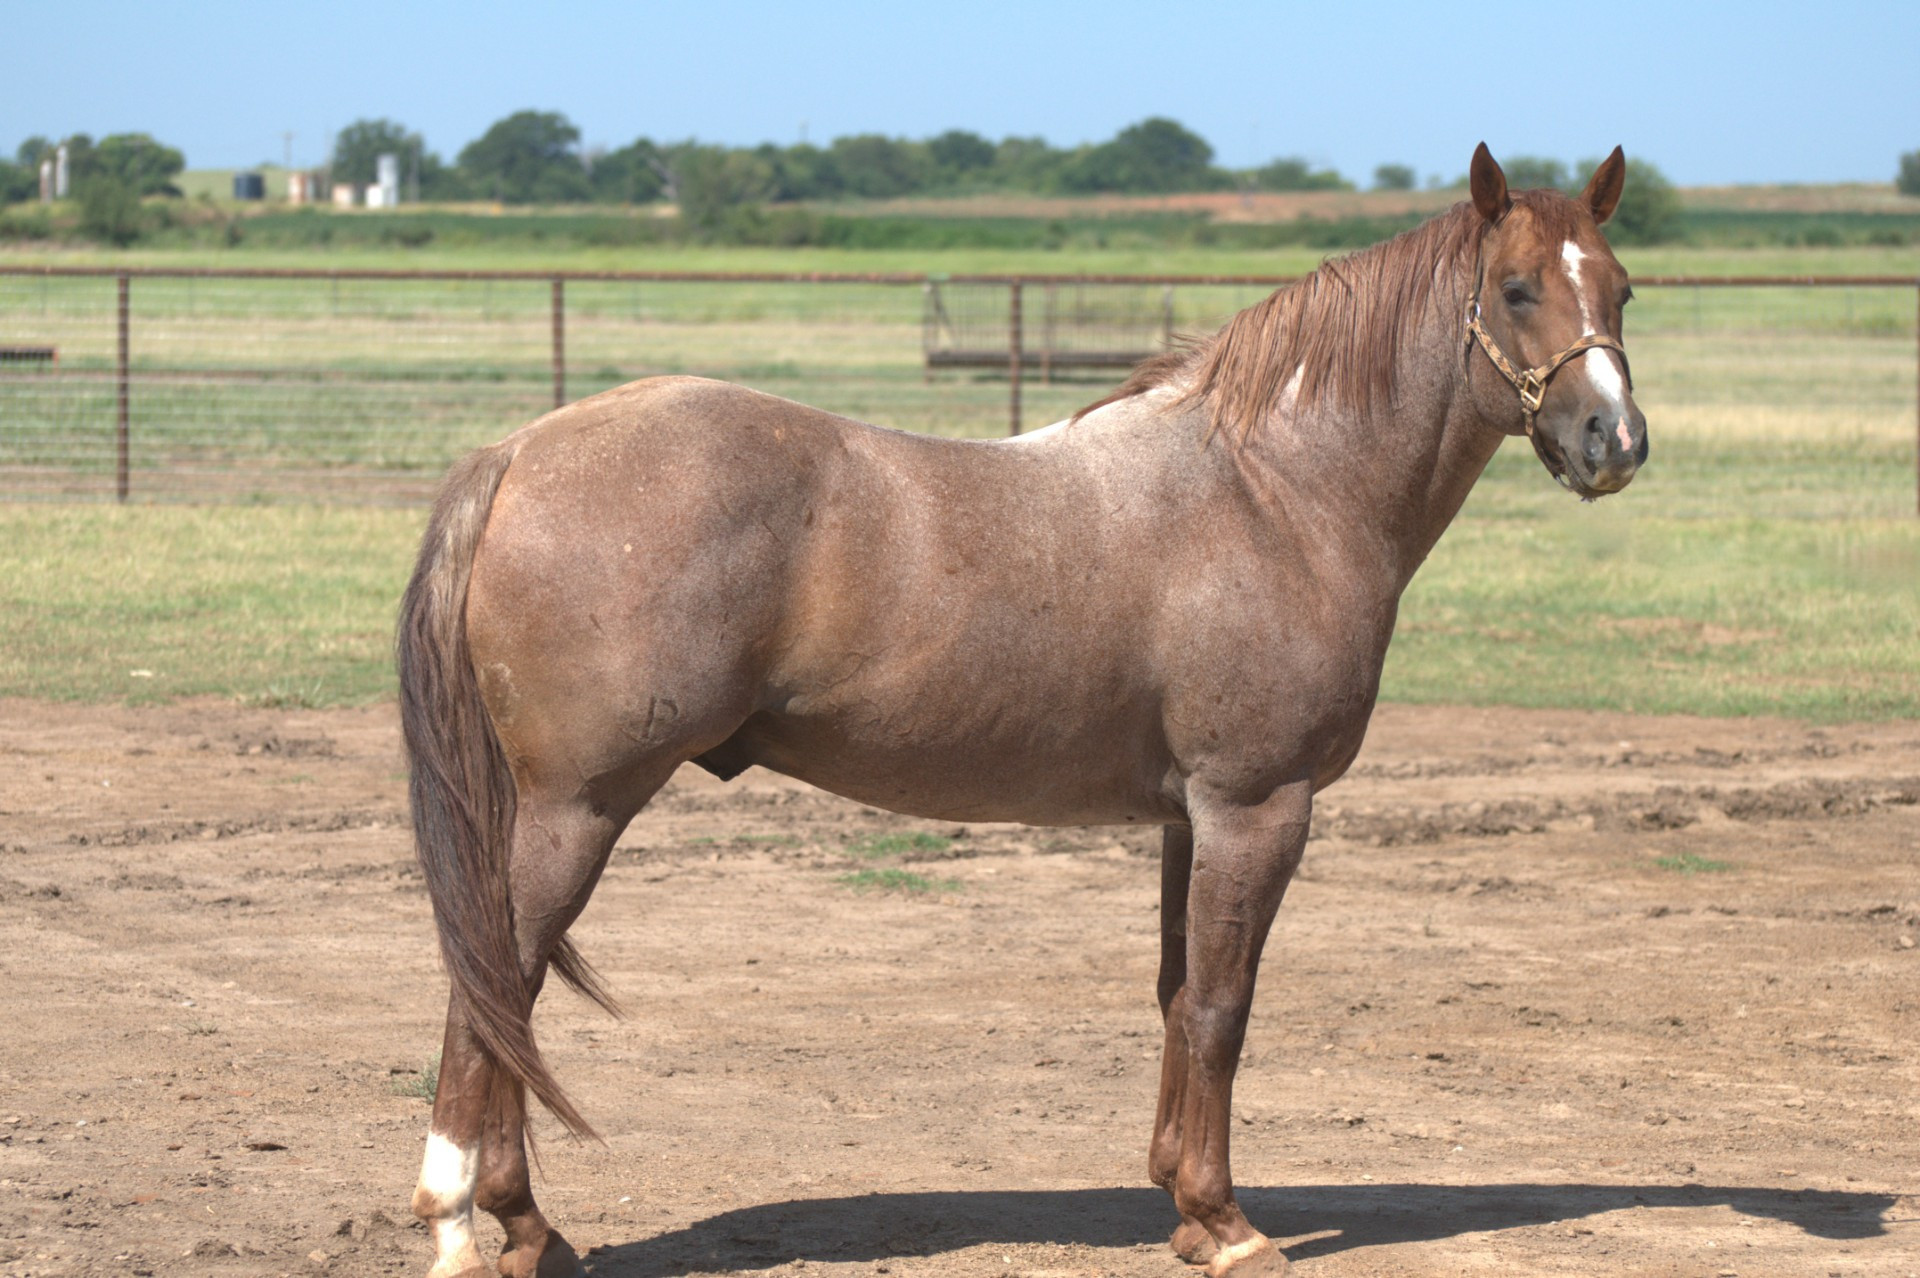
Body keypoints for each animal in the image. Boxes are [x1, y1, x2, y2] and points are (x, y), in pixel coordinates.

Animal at [396, 143, 1647, 1278]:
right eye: (1516, 288)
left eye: (1622, 288)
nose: (1615, 443)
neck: (1273, 491)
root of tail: (517, 455)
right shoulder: (1256, 808)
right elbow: (1223, 1007)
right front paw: (1231, 1224)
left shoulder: (1189, 819)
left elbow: (1176, 994)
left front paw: (1183, 1210)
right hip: (578, 810)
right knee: (493, 989)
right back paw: (472, 1225)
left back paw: (520, 1229)